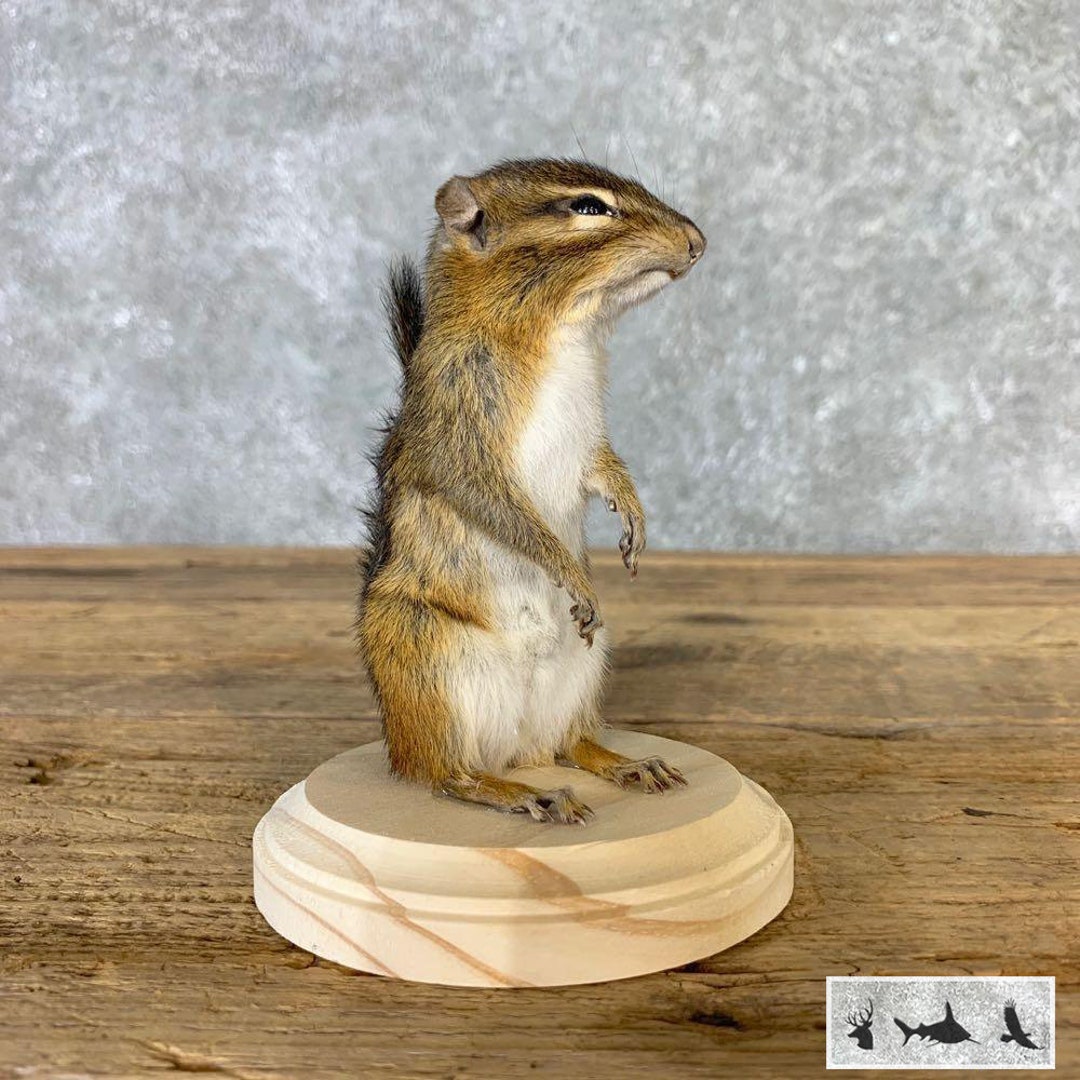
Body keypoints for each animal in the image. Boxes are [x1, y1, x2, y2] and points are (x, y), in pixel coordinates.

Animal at [356, 158, 706, 824]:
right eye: (589, 207)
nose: (697, 242)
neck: (564, 334)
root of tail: (515, 749)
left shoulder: (588, 437)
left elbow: (602, 468)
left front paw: (634, 515)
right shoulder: (460, 435)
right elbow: (502, 510)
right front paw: (568, 570)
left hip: (587, 663)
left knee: (570, 743)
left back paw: (626, 764)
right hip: (427, 666)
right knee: (445, 775)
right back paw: (522, 793)